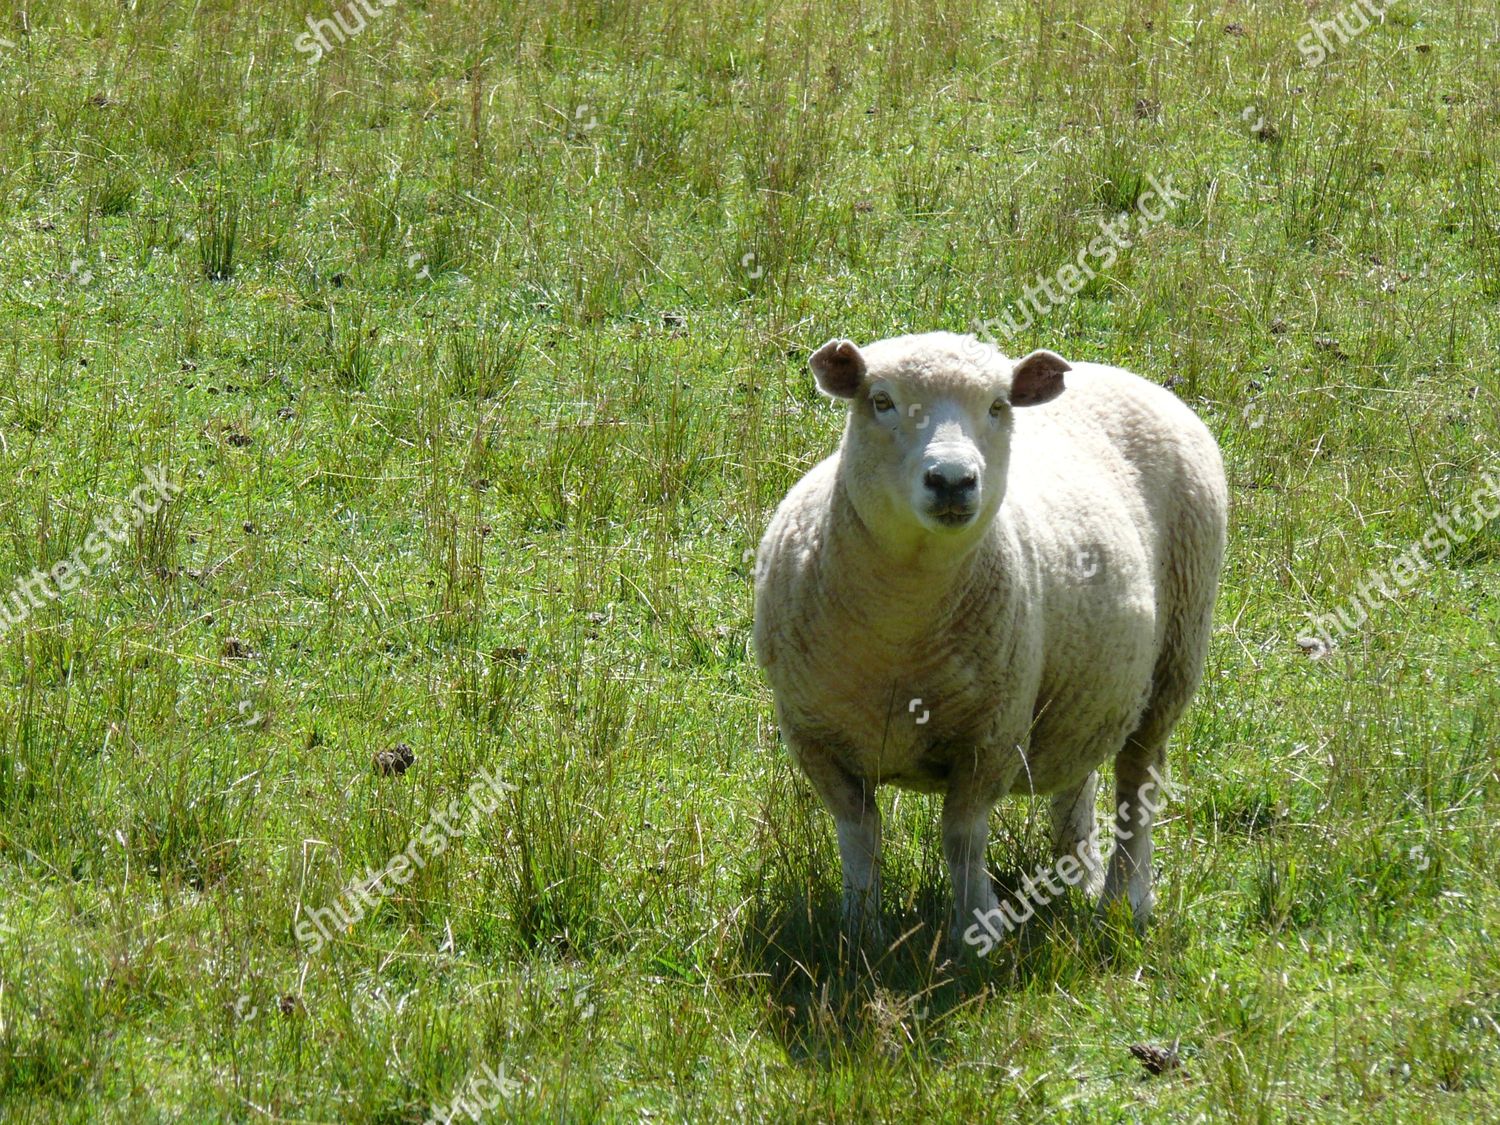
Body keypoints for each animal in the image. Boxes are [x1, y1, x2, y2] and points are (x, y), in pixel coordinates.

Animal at [752, 332, 1227, 949]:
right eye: (880, 400)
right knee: (1079, 775)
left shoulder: (991, 736)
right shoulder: (813, 737)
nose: (953, 480)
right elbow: (859, 835)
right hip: (1083, 681)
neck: (901, 627)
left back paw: (1125, 901)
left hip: (1174, 661)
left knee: (1135, 786)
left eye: (999, 406)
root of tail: (1113, 372)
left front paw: (976, 931)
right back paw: (1078, 874)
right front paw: (859, 933)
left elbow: (962, 839)